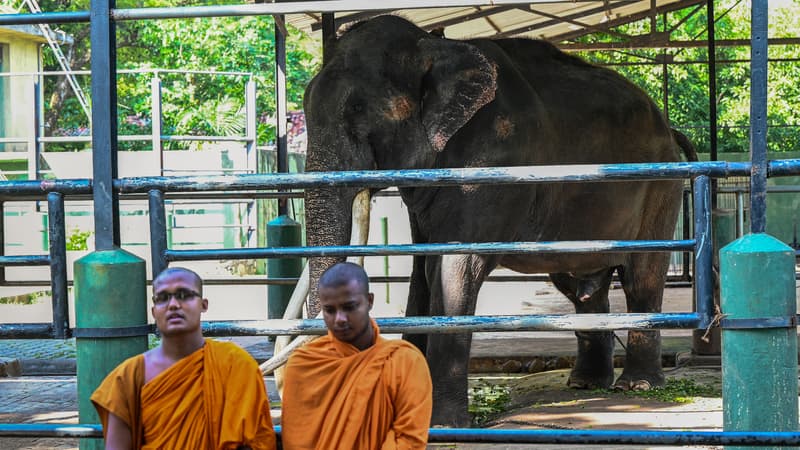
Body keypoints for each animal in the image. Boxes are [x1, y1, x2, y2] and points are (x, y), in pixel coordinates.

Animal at [302, 15, 696, 427]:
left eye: (358, 112)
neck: (434, 45)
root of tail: (669, 129)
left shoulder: (489, 163)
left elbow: (456, 268)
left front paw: (443, 423)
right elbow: (423, 269)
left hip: (660, 188)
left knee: (642, 276)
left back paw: (639, 386)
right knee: (582, 285)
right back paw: (586, 384)